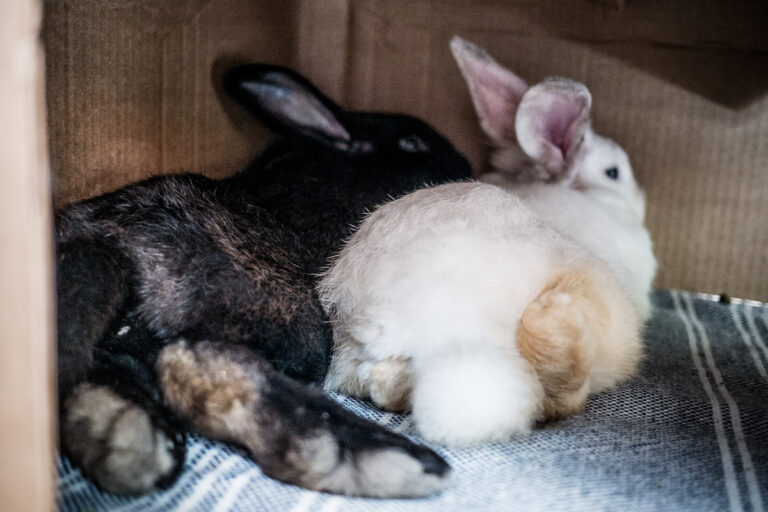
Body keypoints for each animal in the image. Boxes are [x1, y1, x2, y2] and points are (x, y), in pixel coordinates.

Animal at [56, 63, 472, 498]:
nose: (467, 166)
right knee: (195, 360)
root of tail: (103, 242)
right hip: (292, 324)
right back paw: (388, 460)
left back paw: (123, 437)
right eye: (412, 143)